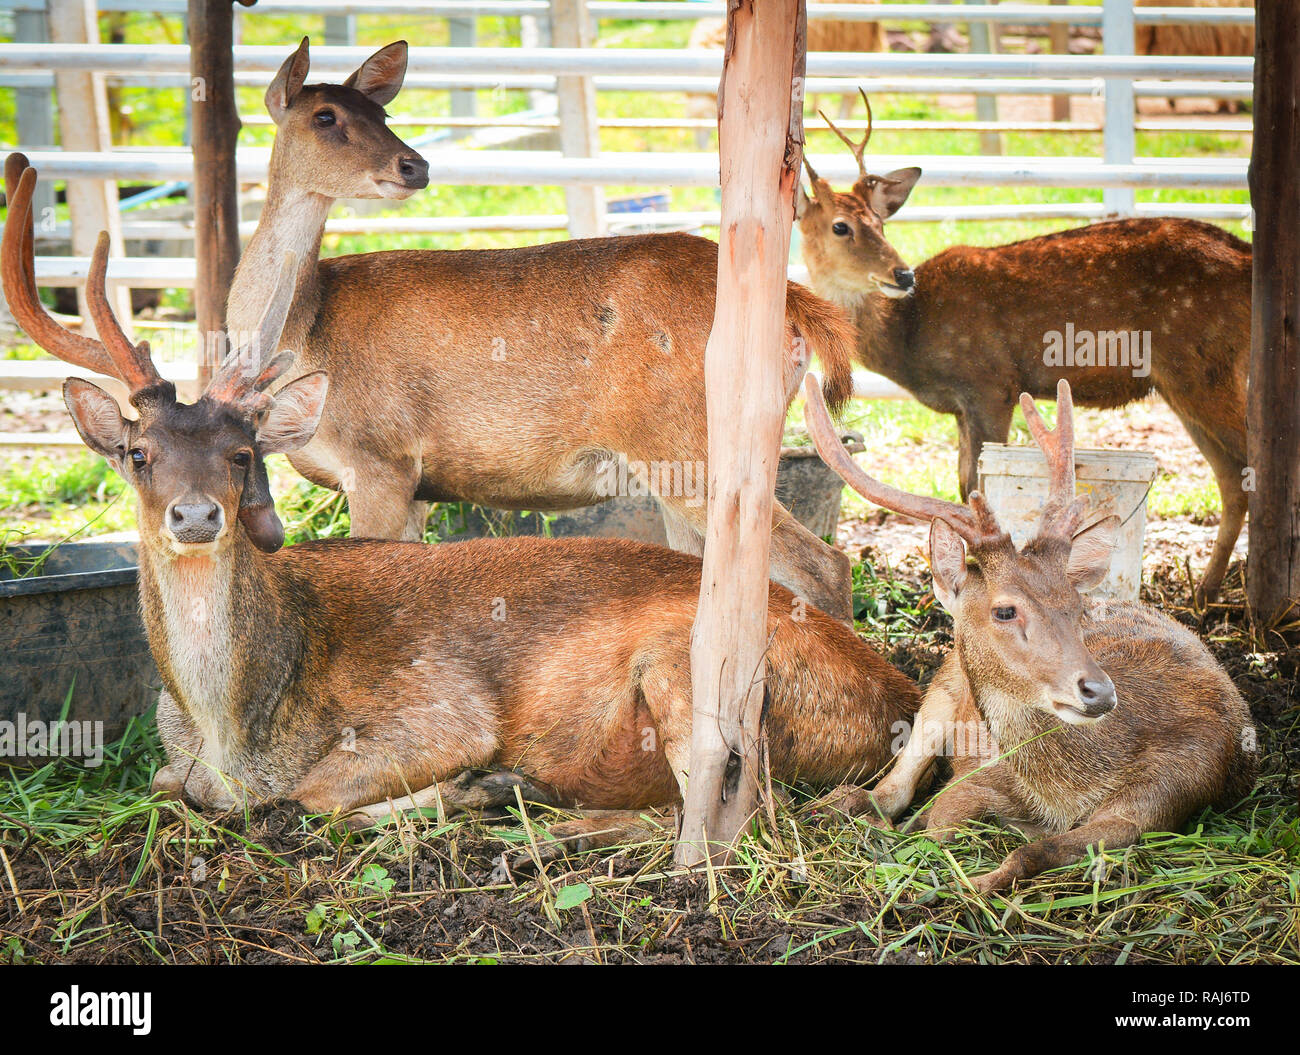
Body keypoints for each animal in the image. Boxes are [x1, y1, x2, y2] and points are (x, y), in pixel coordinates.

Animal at [2, 155, 921, 850]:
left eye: (240, 453)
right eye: (138, 454)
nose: (196, 515)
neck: (237, 727)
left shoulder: (438, 702)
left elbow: (312, 794)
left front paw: (464, 788)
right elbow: (168, 780)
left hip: (689, 566)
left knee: (750, 781)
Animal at [214, 38, 859, 622]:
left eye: (382, 114)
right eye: (326, 115)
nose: (415, 165)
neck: (304, 330)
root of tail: (800, 307)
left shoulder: (380, 458)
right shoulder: (415, 487)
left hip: (688, 443)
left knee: (824, 564)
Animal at [795, 94, 1252, 606]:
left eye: (879, 222)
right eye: (841, 227)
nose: (903, 274)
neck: (909, 341)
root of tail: (1248, 261)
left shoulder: (991, 383)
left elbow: (974, 488)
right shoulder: (965, 406)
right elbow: (963, 484)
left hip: (1204, 366)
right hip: (1187, 380)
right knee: (1232, 477)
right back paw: (1205, 593)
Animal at [802, 375, 1258, 893]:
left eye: (1078, 607)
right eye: (1005, 610)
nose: (1099, 692)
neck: (1060, 794)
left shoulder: (1172, 788)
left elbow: (1032, 850)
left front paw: (978, 880)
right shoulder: (975, 773)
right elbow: (941, 817)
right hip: (940, 688)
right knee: (889, 790)